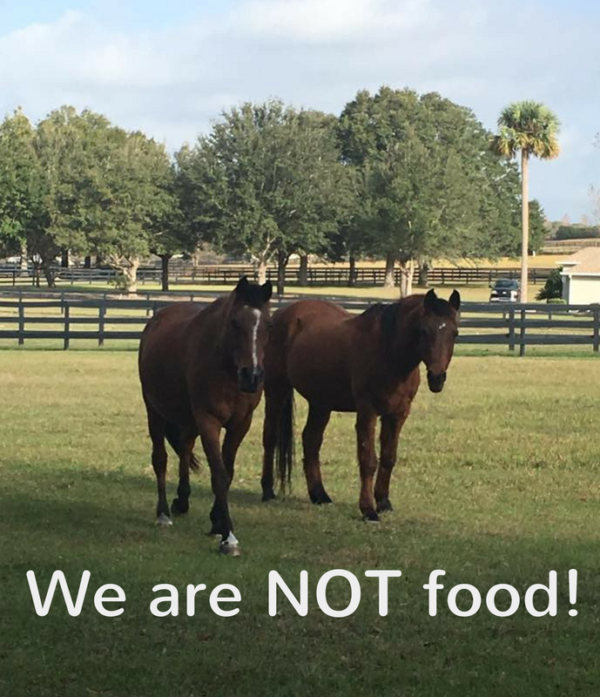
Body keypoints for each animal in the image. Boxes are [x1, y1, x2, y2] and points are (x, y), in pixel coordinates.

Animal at [138, 276, 272, 556]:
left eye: (269, 324)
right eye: (235, 322)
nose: (252, 376)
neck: (226, 370)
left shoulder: (240, 424)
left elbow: (227, 472)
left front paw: (217, 522)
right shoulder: (209, 421)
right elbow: (219, 475)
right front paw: (229, 537)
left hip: (189, 421)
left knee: (185, 448)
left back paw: (182, 500)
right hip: (154, 412)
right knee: (160, 459)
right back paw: (163, 513)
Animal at [261, 288, 460, 522]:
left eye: (454, 333)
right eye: (424, 331)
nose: (437, 378)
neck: (388, 353)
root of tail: (281, 315)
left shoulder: (398, 414)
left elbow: (388, 457)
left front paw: (383, 501)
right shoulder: (368, 411)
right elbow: (368, 459)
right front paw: (368, 510)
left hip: (320, 402)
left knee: (311, 440)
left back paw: (320, 495)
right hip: (276, 389)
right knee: (270, 437)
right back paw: (267, 490)